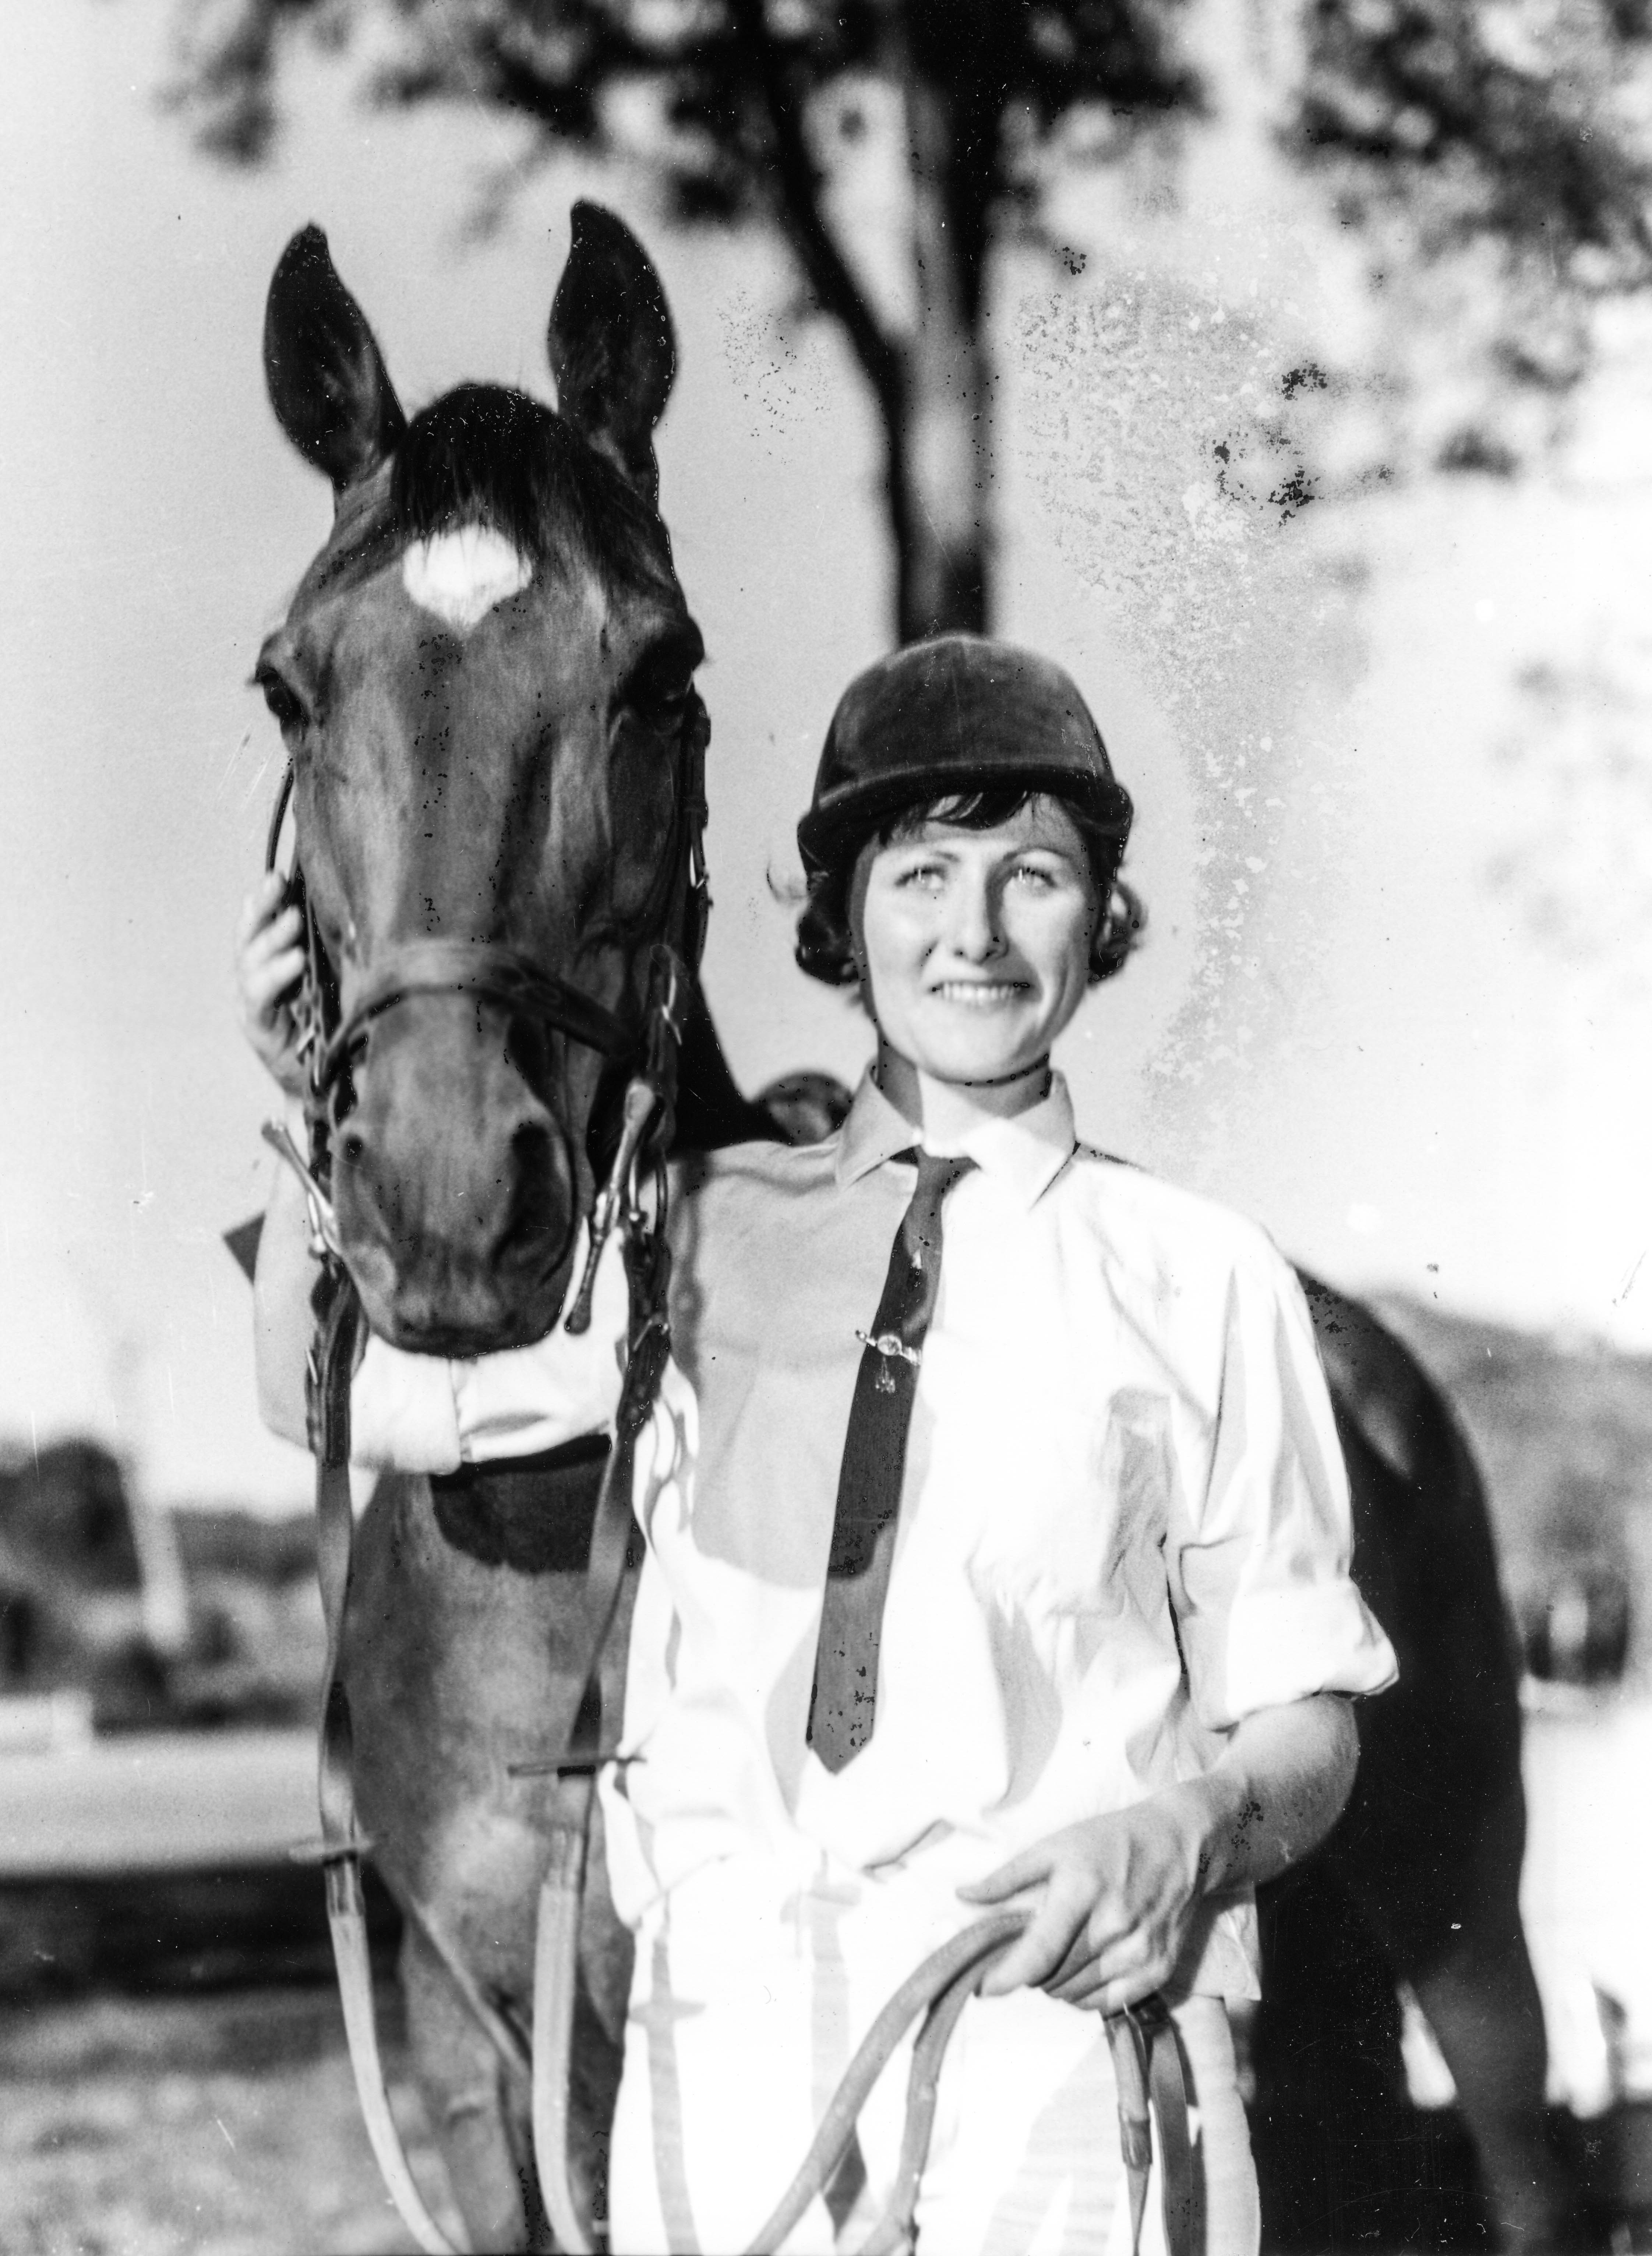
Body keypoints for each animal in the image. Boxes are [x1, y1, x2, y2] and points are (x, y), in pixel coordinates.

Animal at [253, 211, 1578, 2254]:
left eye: (660, 673)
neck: (551, 1531)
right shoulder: (480, 2075)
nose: (455, 1200)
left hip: (1466, 1908)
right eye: (290, 685)